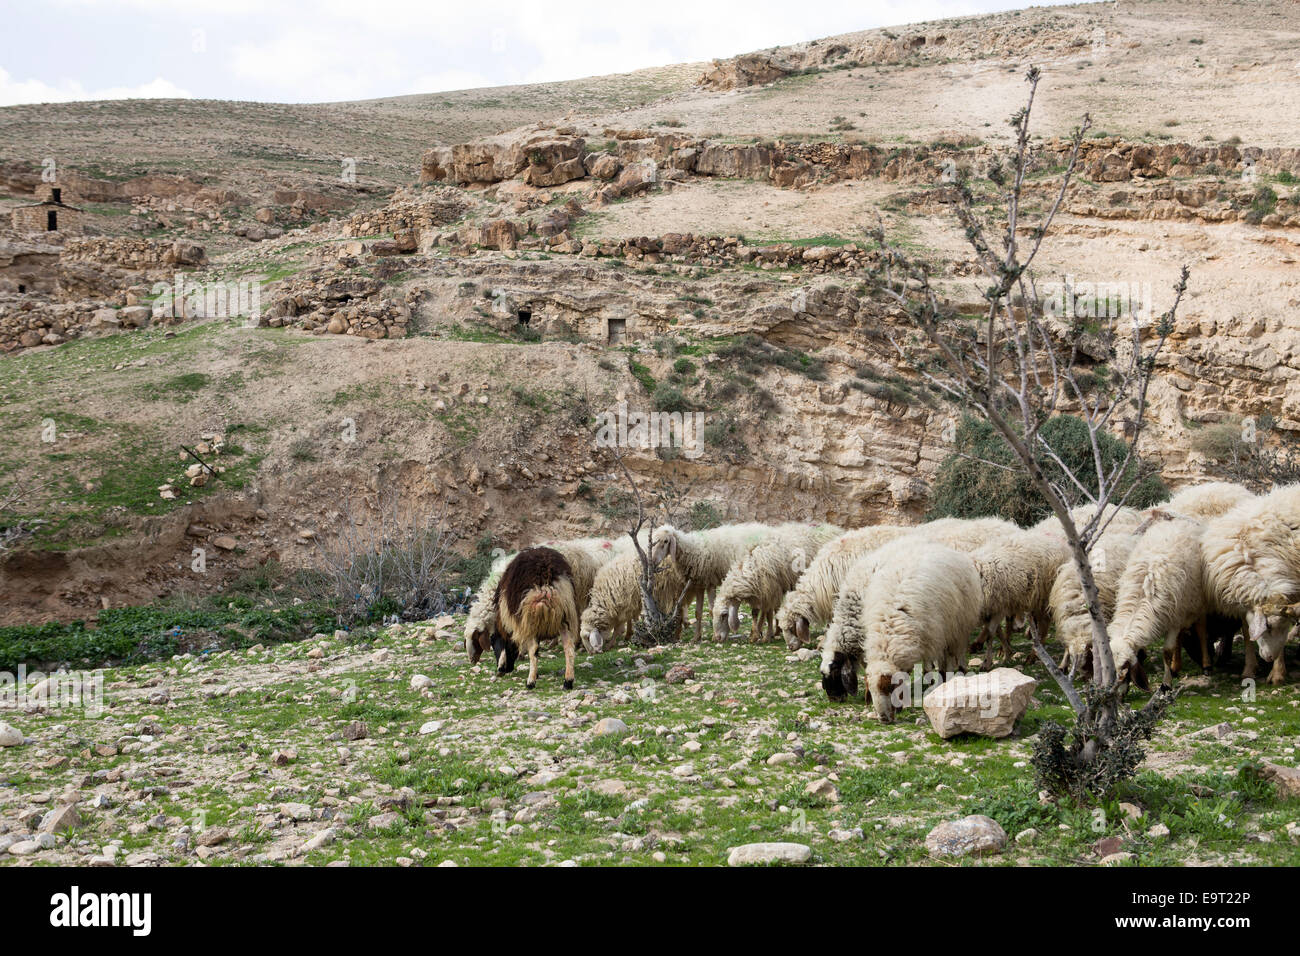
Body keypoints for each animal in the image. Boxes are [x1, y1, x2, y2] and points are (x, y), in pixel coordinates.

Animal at [492, 547, 580, 690]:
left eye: (493, 643)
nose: (505, 670)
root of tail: (546, 577)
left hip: (530, 617)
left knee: (533, 651)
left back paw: (530, 682)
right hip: (565, 615)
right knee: (569, 648)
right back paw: (568, 681)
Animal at [712, 523, 843, 642]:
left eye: (724, 615)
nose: (717, 638)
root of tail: (835, 529)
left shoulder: (771, 589)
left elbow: (767, 613)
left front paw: (764, 635)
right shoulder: (763, 590)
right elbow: (760, 612)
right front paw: (763, 632)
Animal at [1108, 515, 1208, 691]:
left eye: (1126, 672)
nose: (1117, 696)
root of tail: (1178, 522)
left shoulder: (1175, 620)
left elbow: (1167, 651)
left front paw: (1166, 684)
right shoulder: (1172, 617)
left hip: (1195, 601)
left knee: (1200, 628)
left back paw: (1205, 665)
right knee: (1180, 637)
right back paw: (1176, 667)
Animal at [1201, 485, 1300, 685]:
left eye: (1283, 626)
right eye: (1268, 628)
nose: (1269, 657)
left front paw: (1277, 673)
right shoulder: (1244, 605)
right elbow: (1247, 632)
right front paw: (1249, 669)